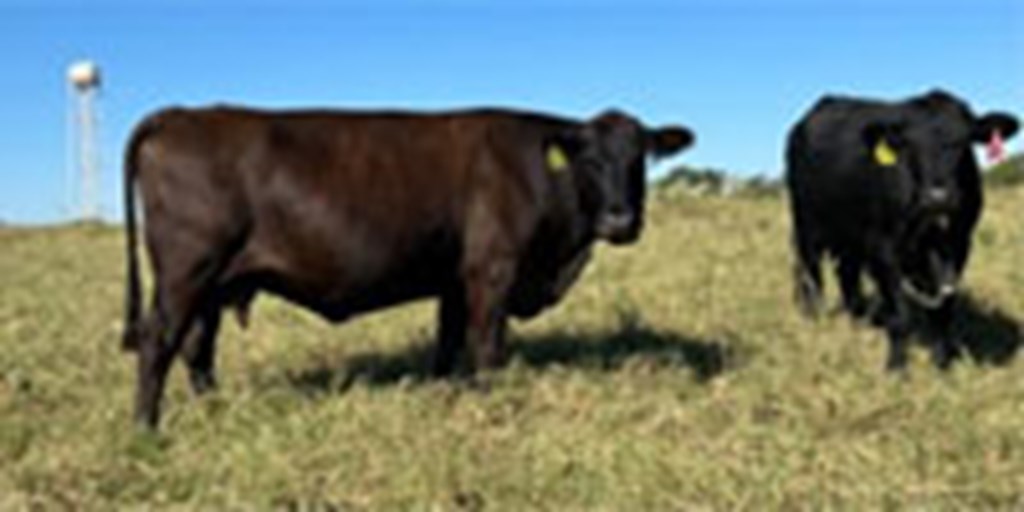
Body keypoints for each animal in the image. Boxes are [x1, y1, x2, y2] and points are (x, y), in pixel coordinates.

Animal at [121, 106, 694, 428]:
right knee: (159, 342)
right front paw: (493, 409)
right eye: (589, 160)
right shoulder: (492, 272)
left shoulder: (455, 280)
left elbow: (447, 346)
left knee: (198, 347)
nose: (621, 219)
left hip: (214, 284)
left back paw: (215, 412)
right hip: (186, 271)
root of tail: (180, 112)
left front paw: (447, 399)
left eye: (640, 158)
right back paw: (147, 430)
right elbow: (487, 348)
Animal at [785, 89, 1019, 371]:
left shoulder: (959, 244)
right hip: (806, 223)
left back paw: (859, 321)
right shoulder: (883, 250)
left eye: (963, 140)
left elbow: (943, 310)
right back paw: (814, 318)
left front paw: (942, 363)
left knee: (846, 274)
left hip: (851, 235)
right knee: (810, 272)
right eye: (909, 145)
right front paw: (896, 367)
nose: (937, 197)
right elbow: (899, 315)